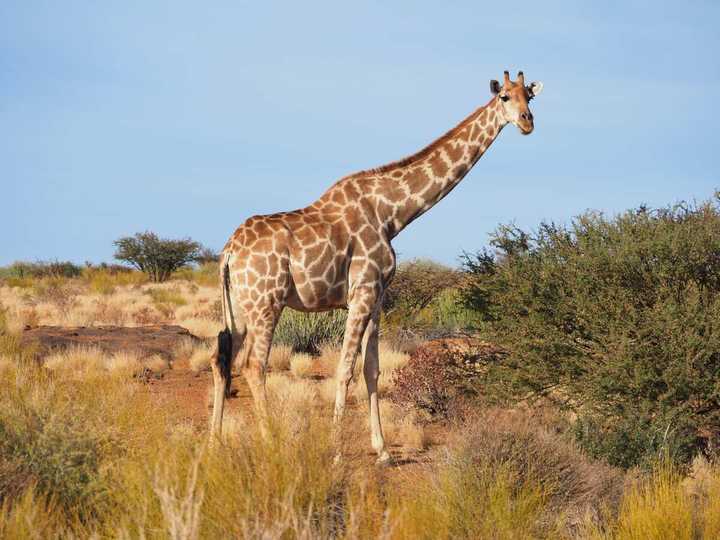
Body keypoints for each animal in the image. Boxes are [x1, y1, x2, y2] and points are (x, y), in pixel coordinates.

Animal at [211, 70, 543, 463]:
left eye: (529, 97)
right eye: (505, 96)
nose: (527, 122)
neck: (392, 214)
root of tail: (229, 251)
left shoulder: (379, 297)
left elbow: (372, 369)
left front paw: (382, 449)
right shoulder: (362, 293)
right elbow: (344, 368)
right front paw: (337, 451)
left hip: (239, 306)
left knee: (222, 359)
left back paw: (213, 441)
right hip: (267, 301)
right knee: (253, 364)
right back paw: (269, 442)